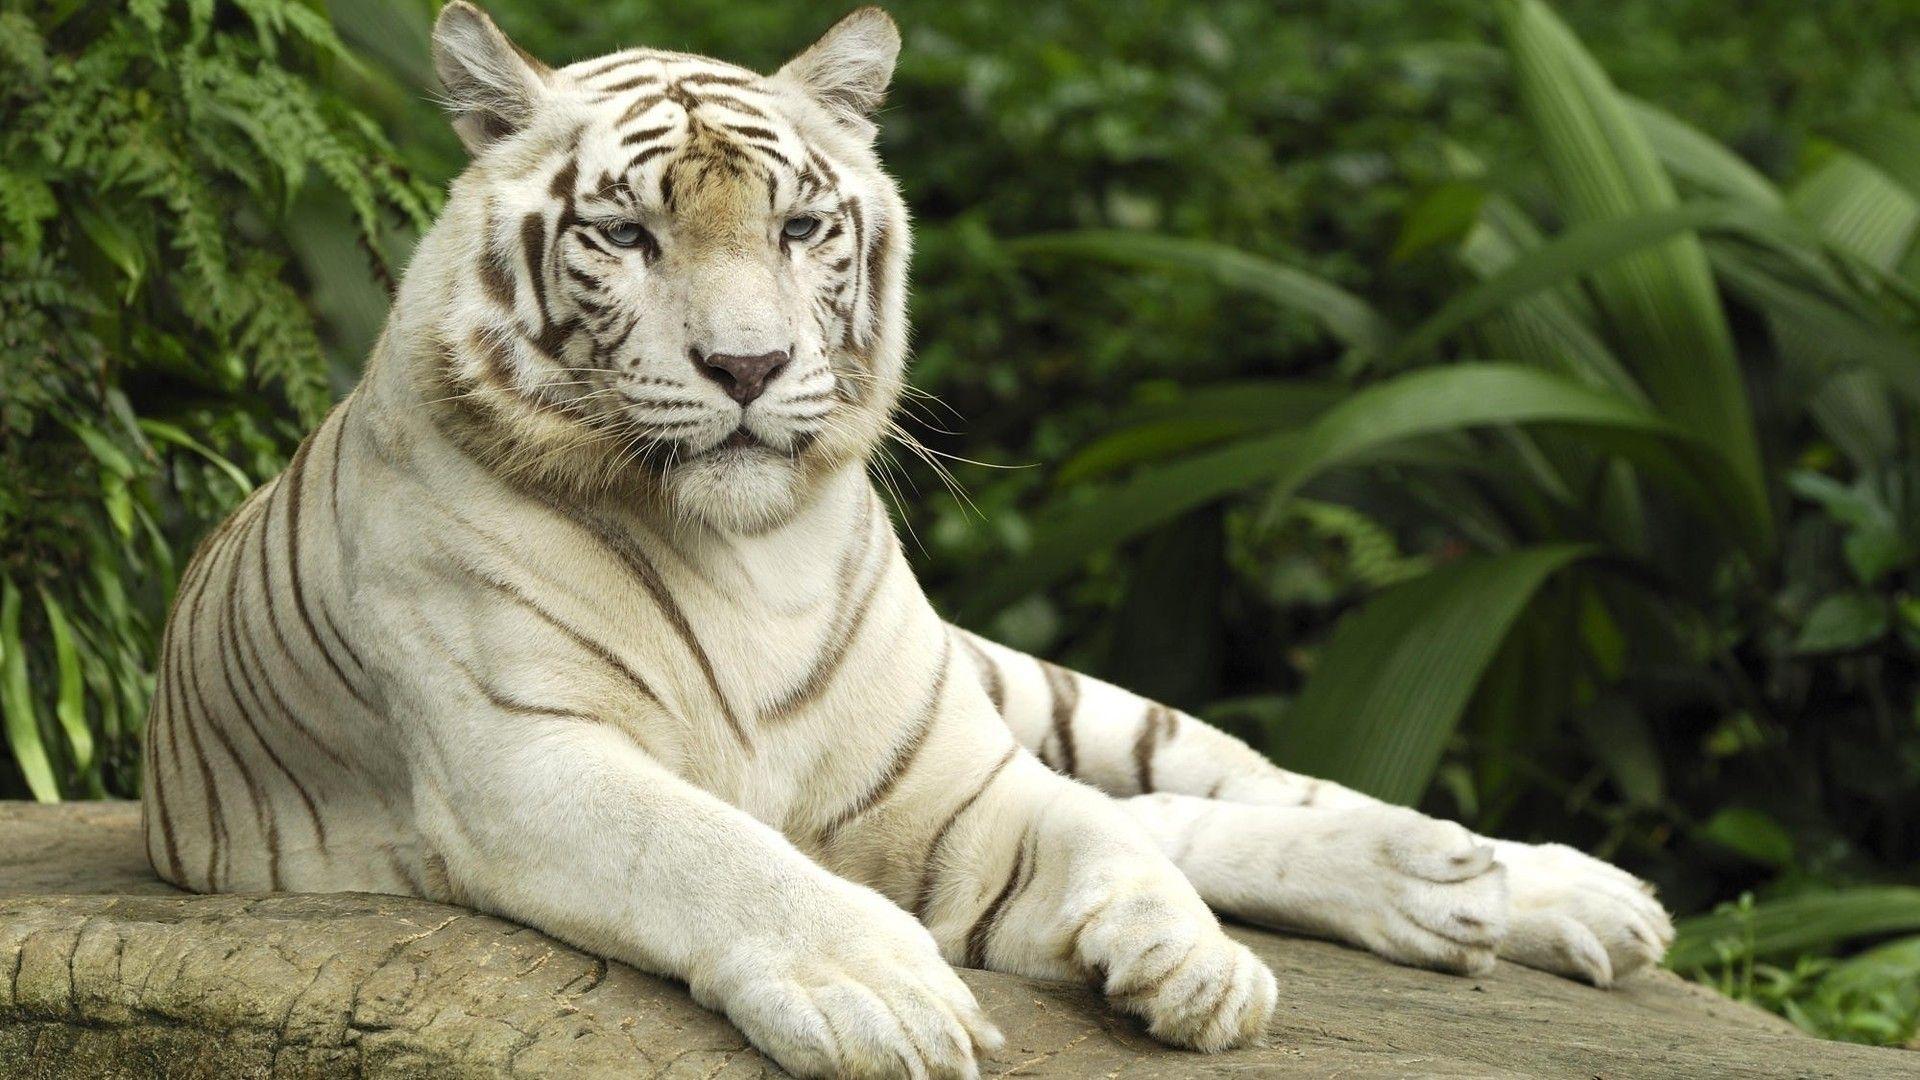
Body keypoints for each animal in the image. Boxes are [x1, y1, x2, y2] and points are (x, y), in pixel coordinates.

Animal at [139, 4, 1675, 1076]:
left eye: (802, 226)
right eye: (627, 237)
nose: (748, 366)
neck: (745, 555)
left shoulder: (954, 779)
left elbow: (1102, 838)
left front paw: (1192, 966)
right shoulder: (526, 761)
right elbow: (715, 853)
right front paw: (882, 993)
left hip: (1035, 691)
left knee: (1217, 789)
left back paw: (1517, 885)